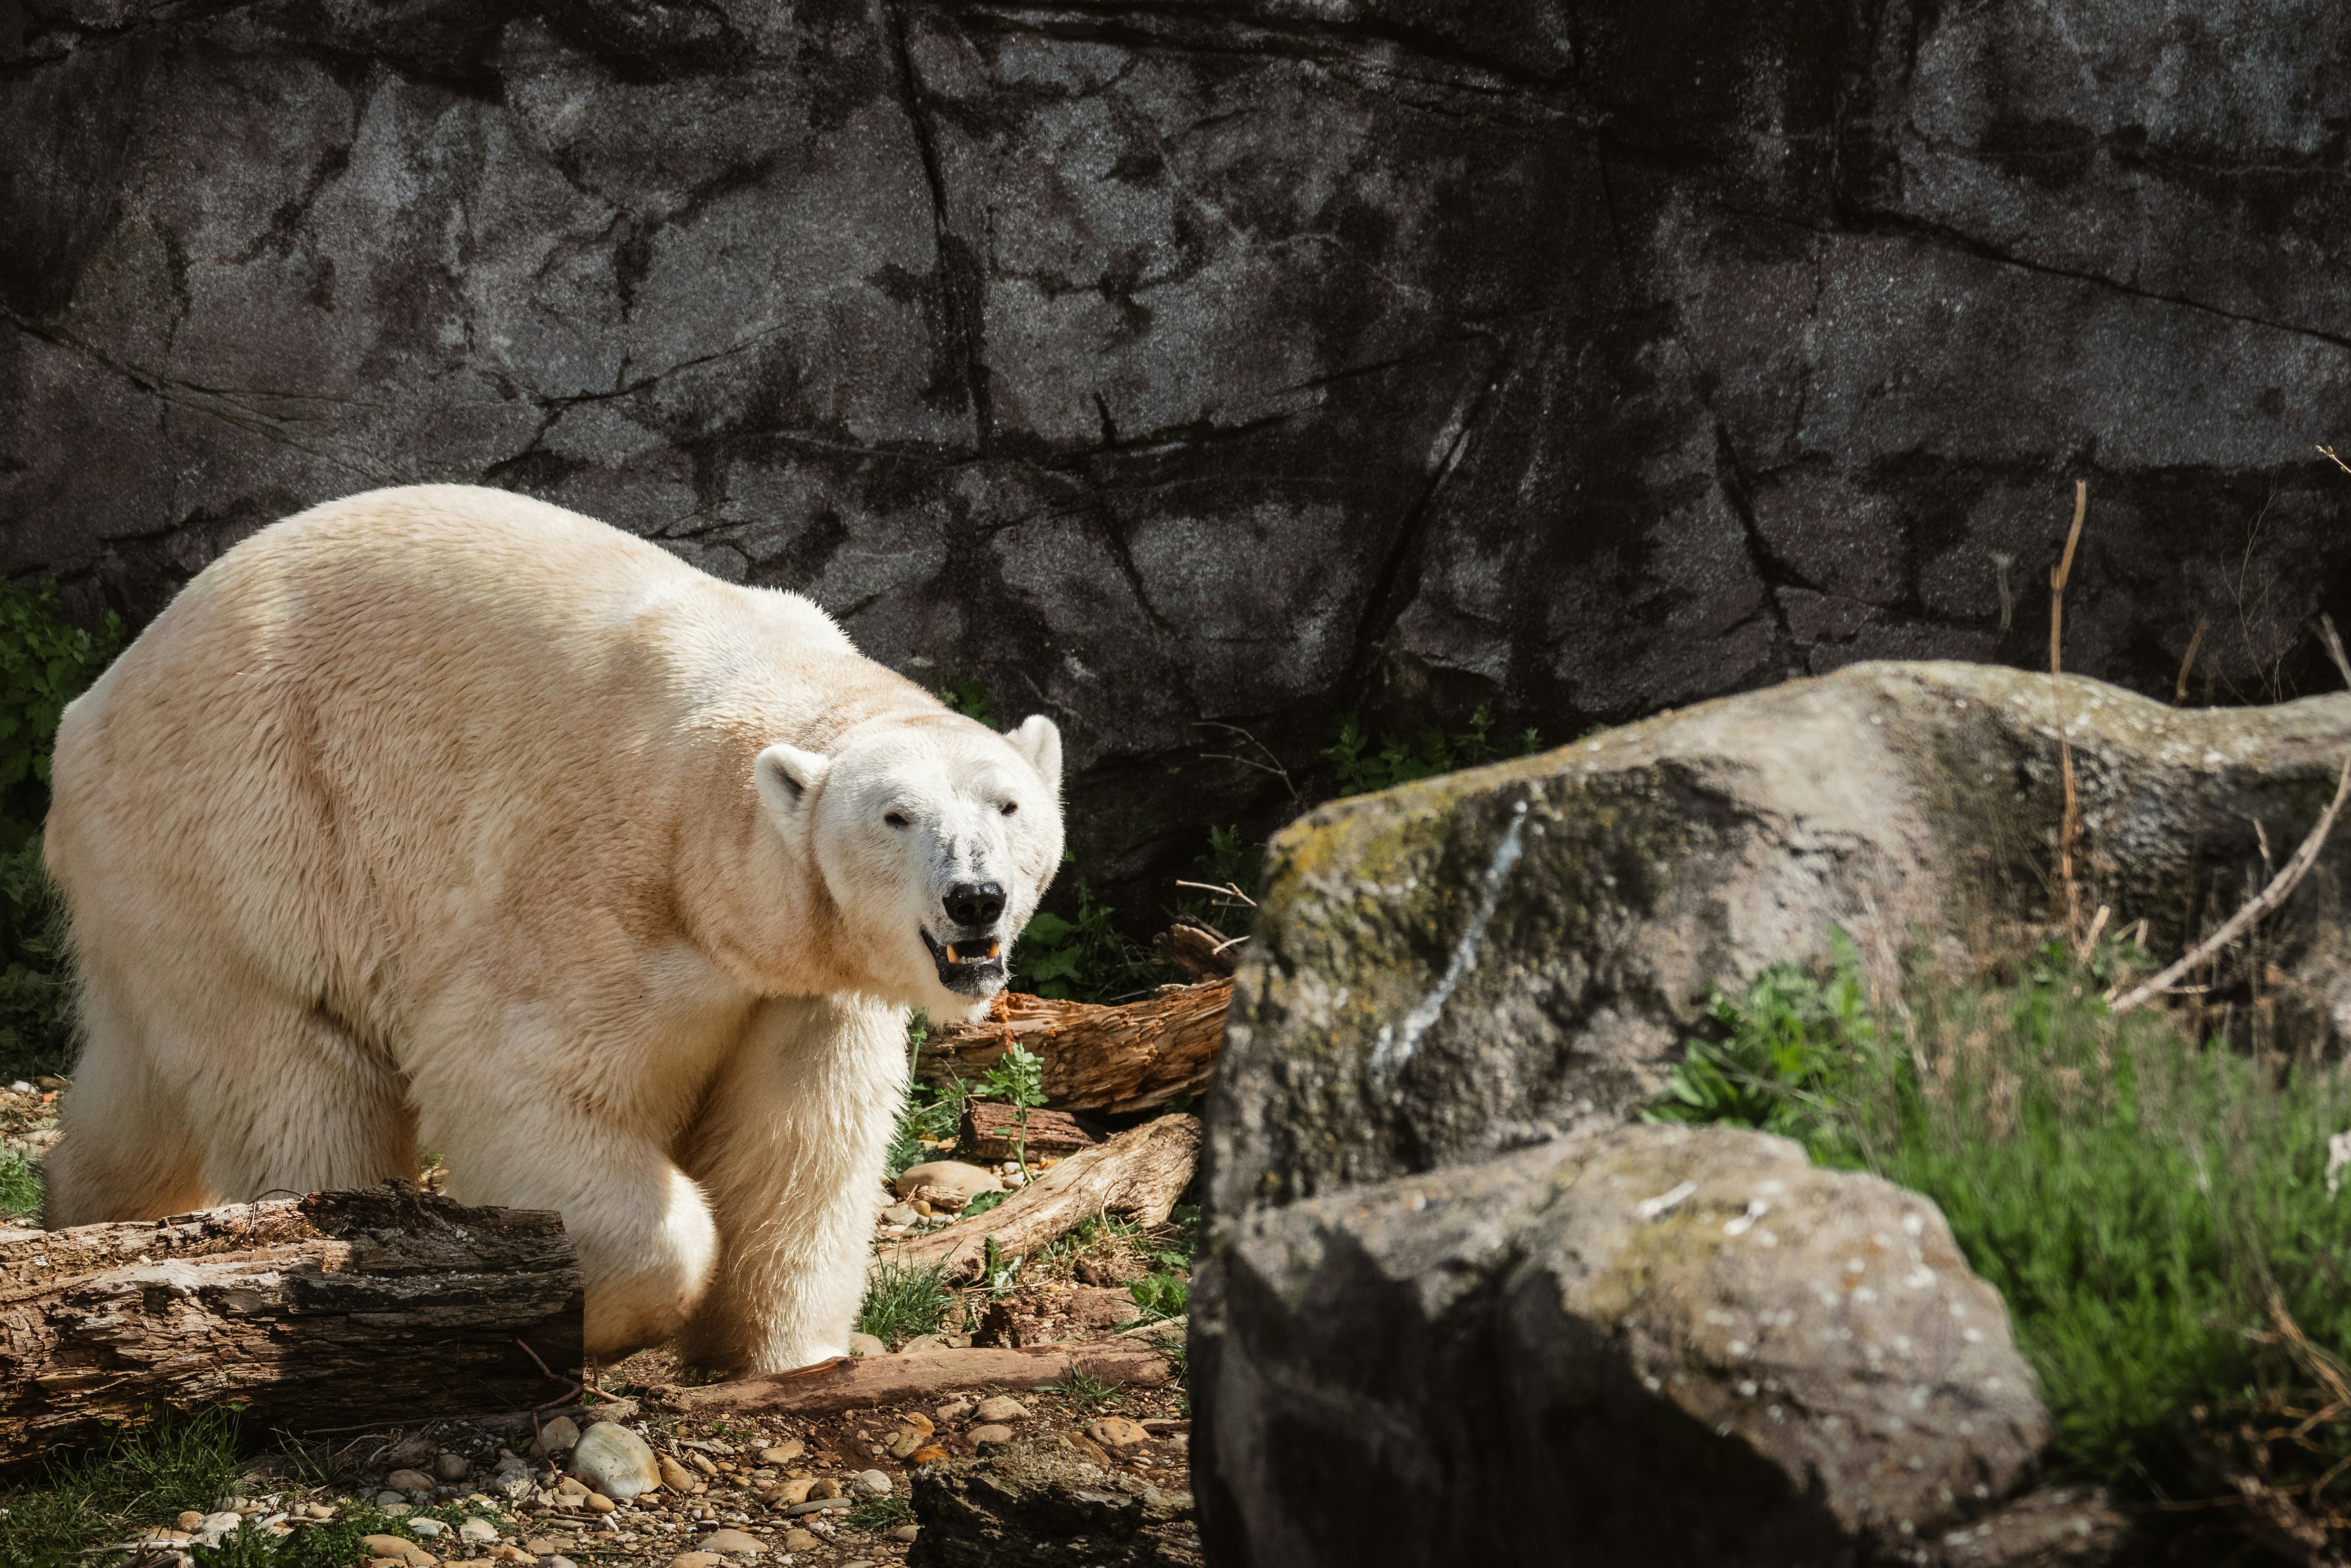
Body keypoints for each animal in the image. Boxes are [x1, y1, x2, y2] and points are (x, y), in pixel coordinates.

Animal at [38, 483, 1064, 1375]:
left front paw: (791, 1356)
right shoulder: (594, 889)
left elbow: (800, 1141)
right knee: (298, 1079)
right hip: (251, 823)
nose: (974, 899)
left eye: (1007, 804)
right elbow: (522, 1080)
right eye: (895, 815)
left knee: (142, 1084)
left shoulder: (799, 982)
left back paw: (77, 1211)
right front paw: (583, 1312)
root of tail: (91, 706)